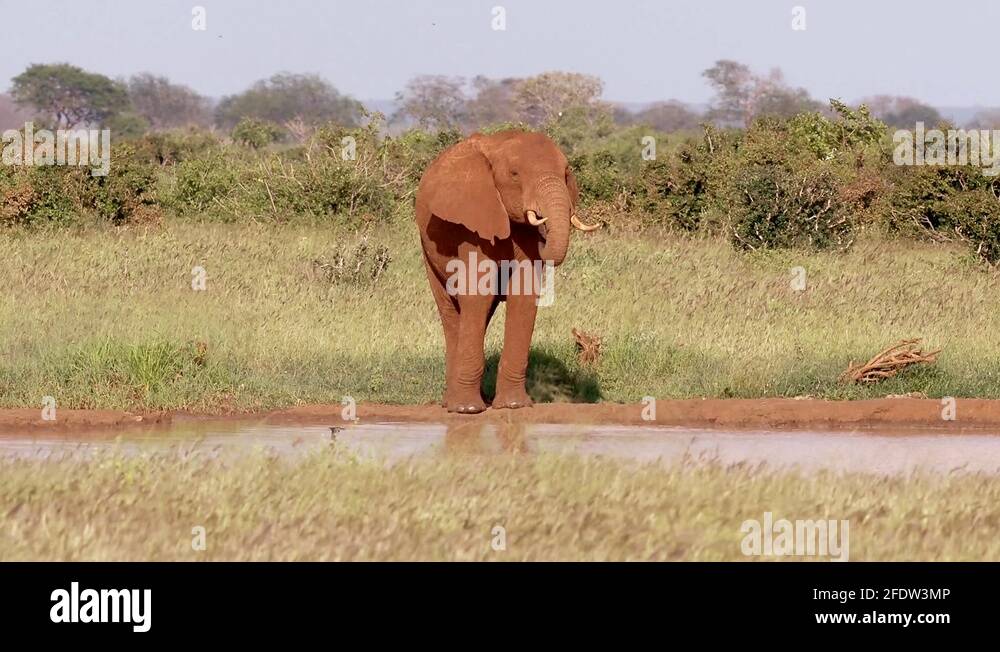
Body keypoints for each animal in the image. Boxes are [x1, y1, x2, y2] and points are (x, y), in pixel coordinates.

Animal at [415, 130, 600, 414]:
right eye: (514, 174)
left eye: (567, 172)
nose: (544, 232)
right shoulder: (473, 219)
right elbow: (477, 293)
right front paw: (468, 410)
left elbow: (523, 296)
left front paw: (514, 406)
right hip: (428, 253)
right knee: (451, 311)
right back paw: (454, 404)